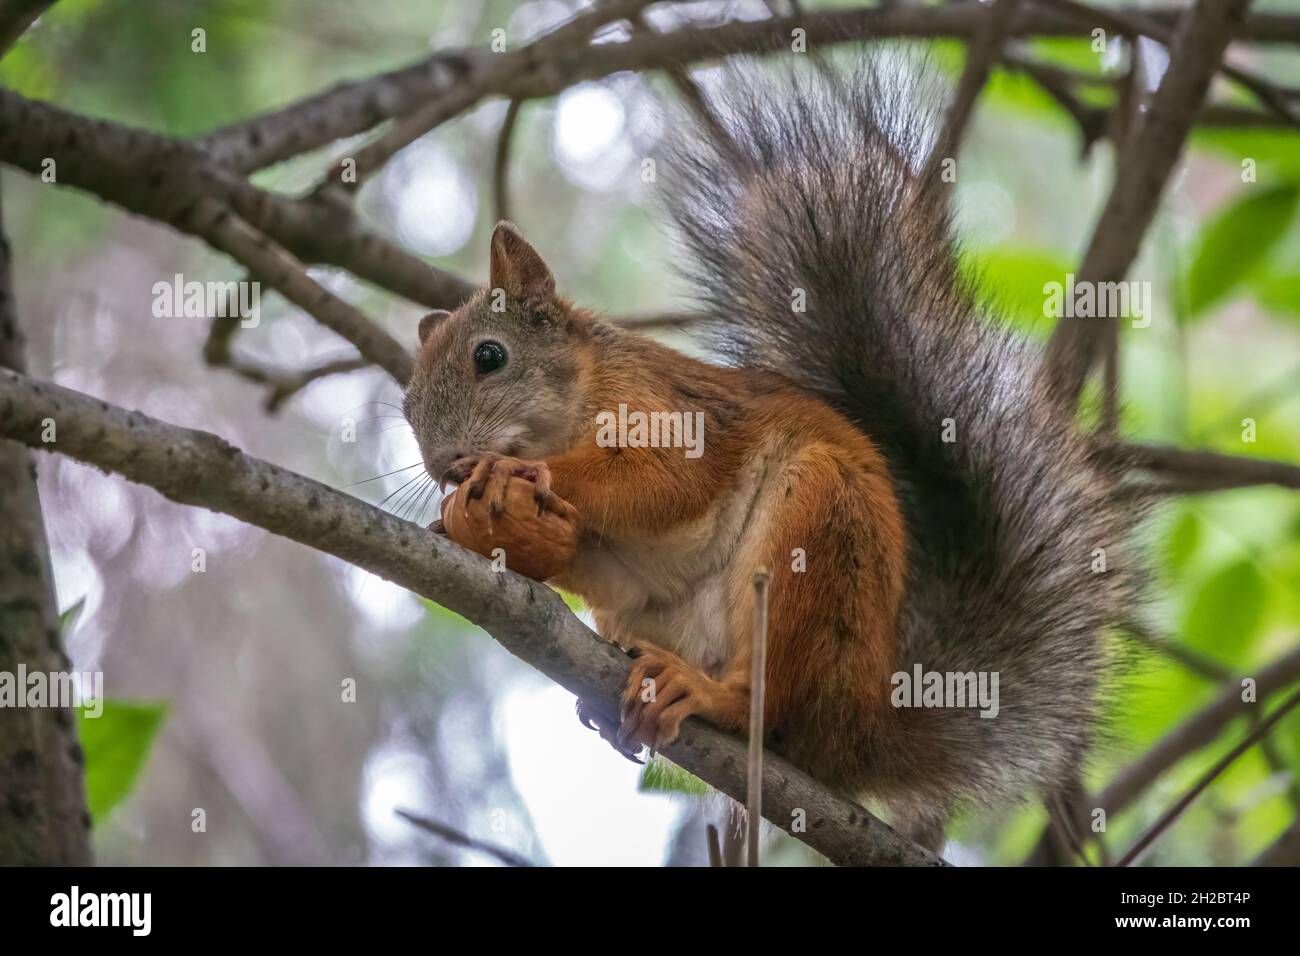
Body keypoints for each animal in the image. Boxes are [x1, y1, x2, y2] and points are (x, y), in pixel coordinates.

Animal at [401, 63, 1136, 851]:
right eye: (407, 406)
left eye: (490, 357)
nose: (447, 465)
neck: (578, 398)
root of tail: (860, 730)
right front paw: (470, 526)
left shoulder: (670, 410)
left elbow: (668, 481)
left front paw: (526, 477)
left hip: (817, 528)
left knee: (773, 705)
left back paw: (713, 696)